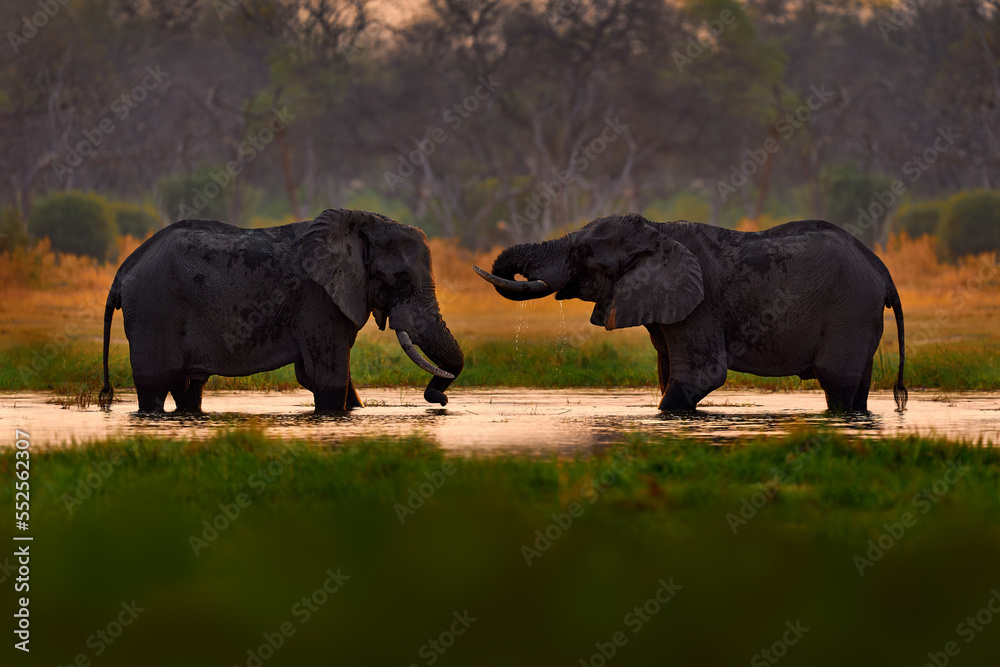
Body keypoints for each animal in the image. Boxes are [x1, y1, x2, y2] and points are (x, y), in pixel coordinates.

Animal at [98, 208, 463, 413]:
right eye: (400, 278)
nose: (440, 400)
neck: (361, 225)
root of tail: (124, 269)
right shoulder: (318, 299)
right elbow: (329, 378)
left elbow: (329, 379)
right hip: (154, 311)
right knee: (155, 387)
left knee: (188, 389)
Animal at [475, 213, 906, 413]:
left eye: (584, 252)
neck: (657, 231)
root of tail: (882, 268)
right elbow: (668, 375)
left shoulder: (700, 306)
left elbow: (700, 376)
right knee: (858, 387)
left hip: (850, 310)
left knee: (838, 382)